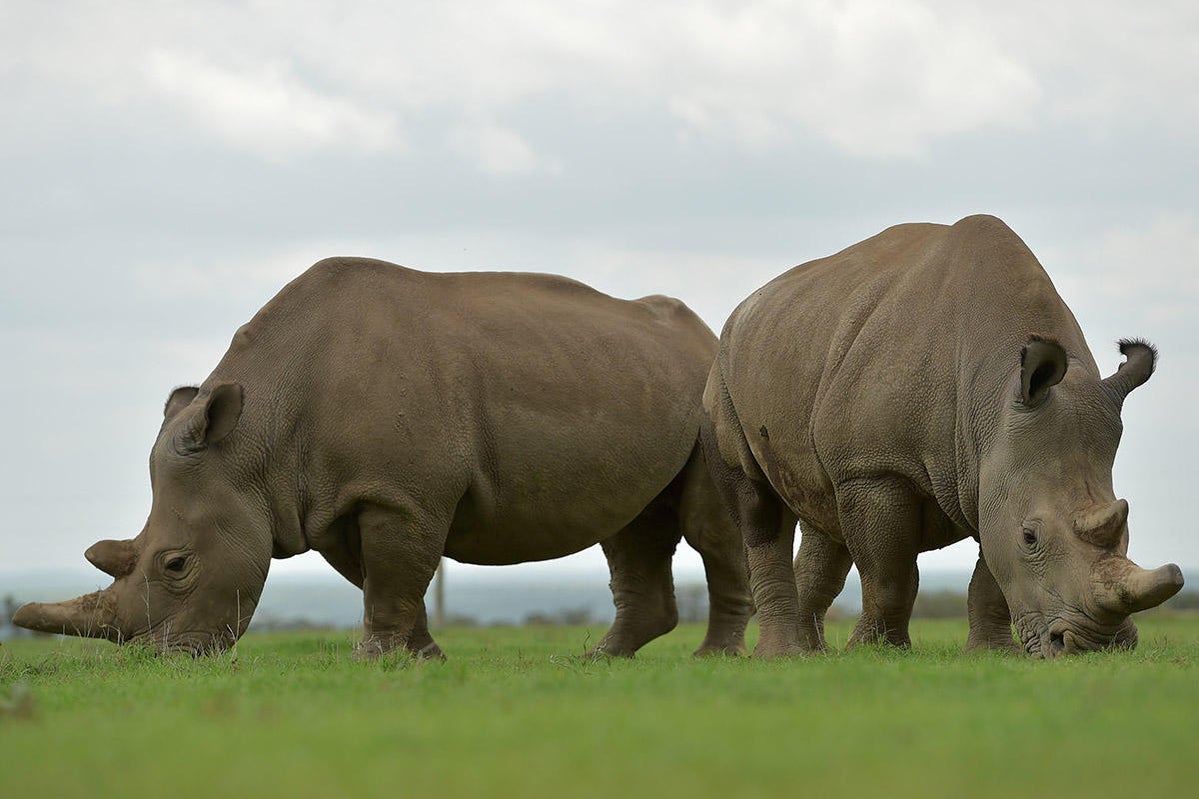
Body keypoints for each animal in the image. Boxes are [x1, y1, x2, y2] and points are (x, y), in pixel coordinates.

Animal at [14, 258, 752, 658]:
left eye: (175, 564)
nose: (159, 661)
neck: (254, 441)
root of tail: (704, 331)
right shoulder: (332, 498)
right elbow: (387, 579)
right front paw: (422, 659)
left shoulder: (399, 491)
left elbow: (396, 575)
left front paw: (378, 661)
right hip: (633, 377)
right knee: (629, 527)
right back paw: (597, 660)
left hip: (715, 392)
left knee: (709, 526)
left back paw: (711, 659)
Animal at [702, 215, 1183, 658]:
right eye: (1031, 538)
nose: (1097, 647)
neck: (993, 390)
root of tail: (744, 309)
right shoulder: (875, 468)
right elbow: (890, 574)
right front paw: (876, 653)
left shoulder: (992, 470)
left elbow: (990, 573)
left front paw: (991, 654)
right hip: (724, 370)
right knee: (758, 503)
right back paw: (781, 657)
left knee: (822, 514)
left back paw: (810, 656)